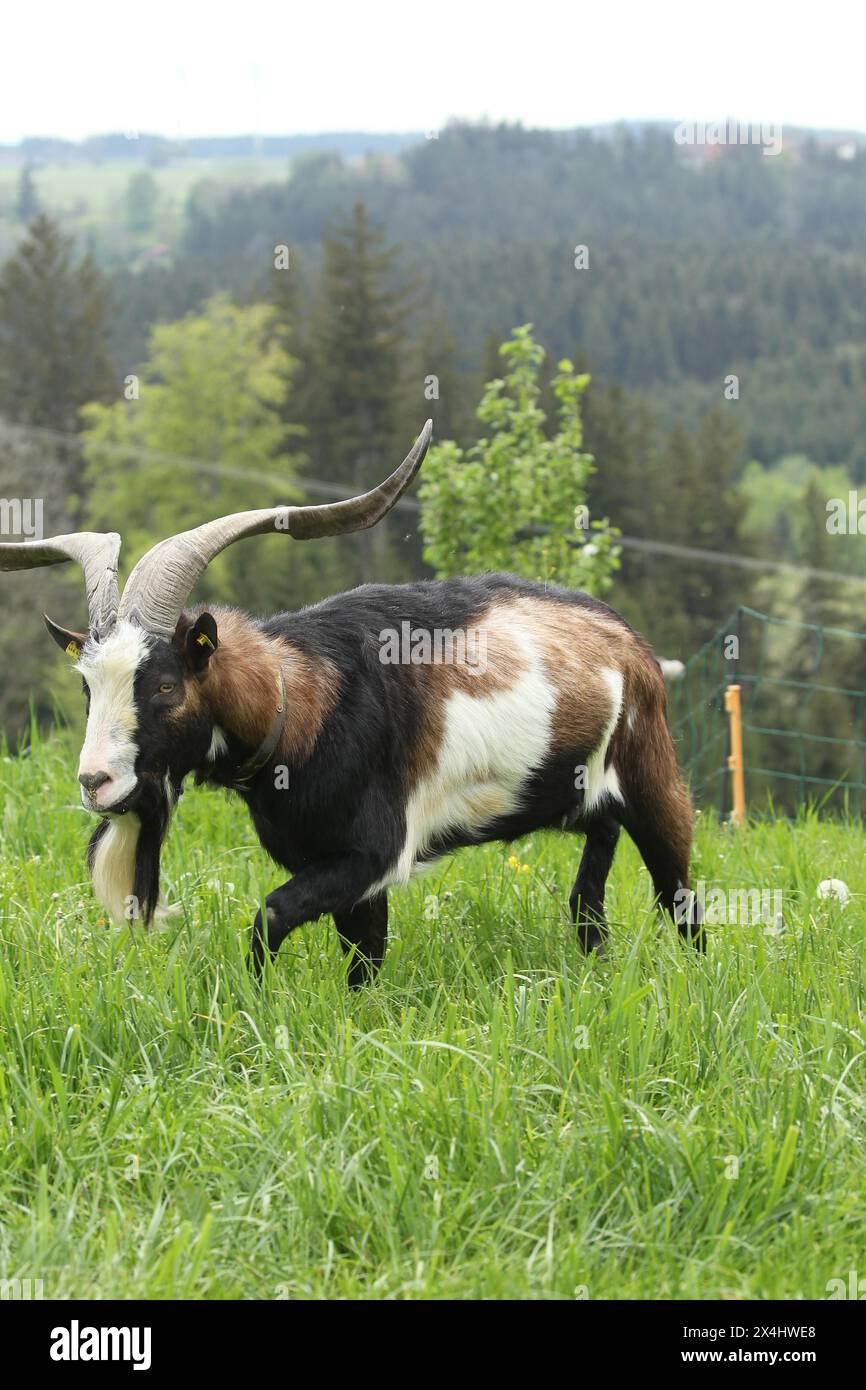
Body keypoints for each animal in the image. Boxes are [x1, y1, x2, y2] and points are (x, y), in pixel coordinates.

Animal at [0, 421, 703, 982]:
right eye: (88, 686)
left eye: (166, 686)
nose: (95, 782)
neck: (300, 703)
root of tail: (631, 643)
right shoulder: (339, 866)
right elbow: (363, 956)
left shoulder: (373, 853)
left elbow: (272, 914)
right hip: (578, 794)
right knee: (594, 868)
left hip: (654, 779)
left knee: (681, 896)